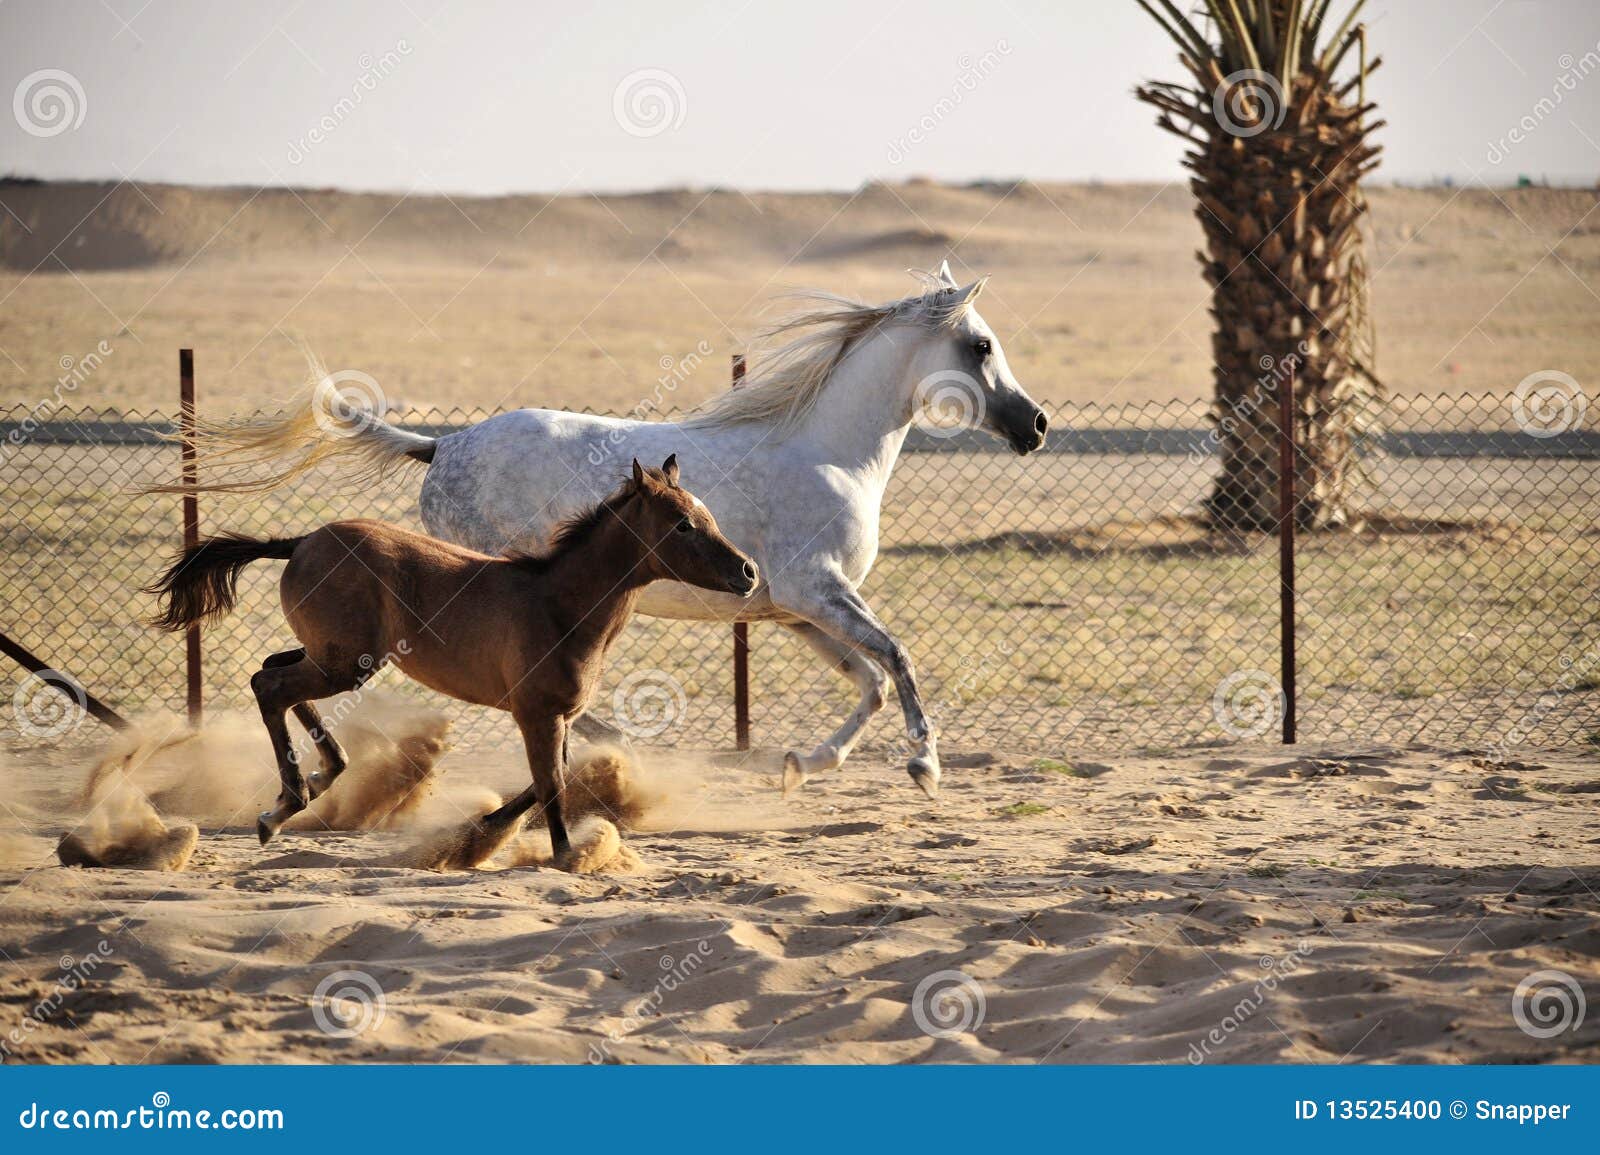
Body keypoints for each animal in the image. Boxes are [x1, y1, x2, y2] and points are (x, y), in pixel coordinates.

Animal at [144, 457, 758, 859]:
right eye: (683, 524)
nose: (749, 572)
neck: (558, 603)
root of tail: (301, 542)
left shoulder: (559, 716)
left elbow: (548, 779)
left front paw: (475, 835)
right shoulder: (536, 714)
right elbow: (552, 786)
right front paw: (558, 855)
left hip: (337, 658)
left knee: (272, 671)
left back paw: (317, 782)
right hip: (345, 663)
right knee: (269, 685)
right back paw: (284, 807)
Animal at [166, 261, 1047, 798]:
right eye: (980, 345)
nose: (1035, 425)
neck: (826, 450)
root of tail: (444, 445)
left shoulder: (791, 608)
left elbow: (867, 678)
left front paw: (805, 762)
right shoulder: (819, 591)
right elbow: (896, 657)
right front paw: (925, 764)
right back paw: (613, 742)